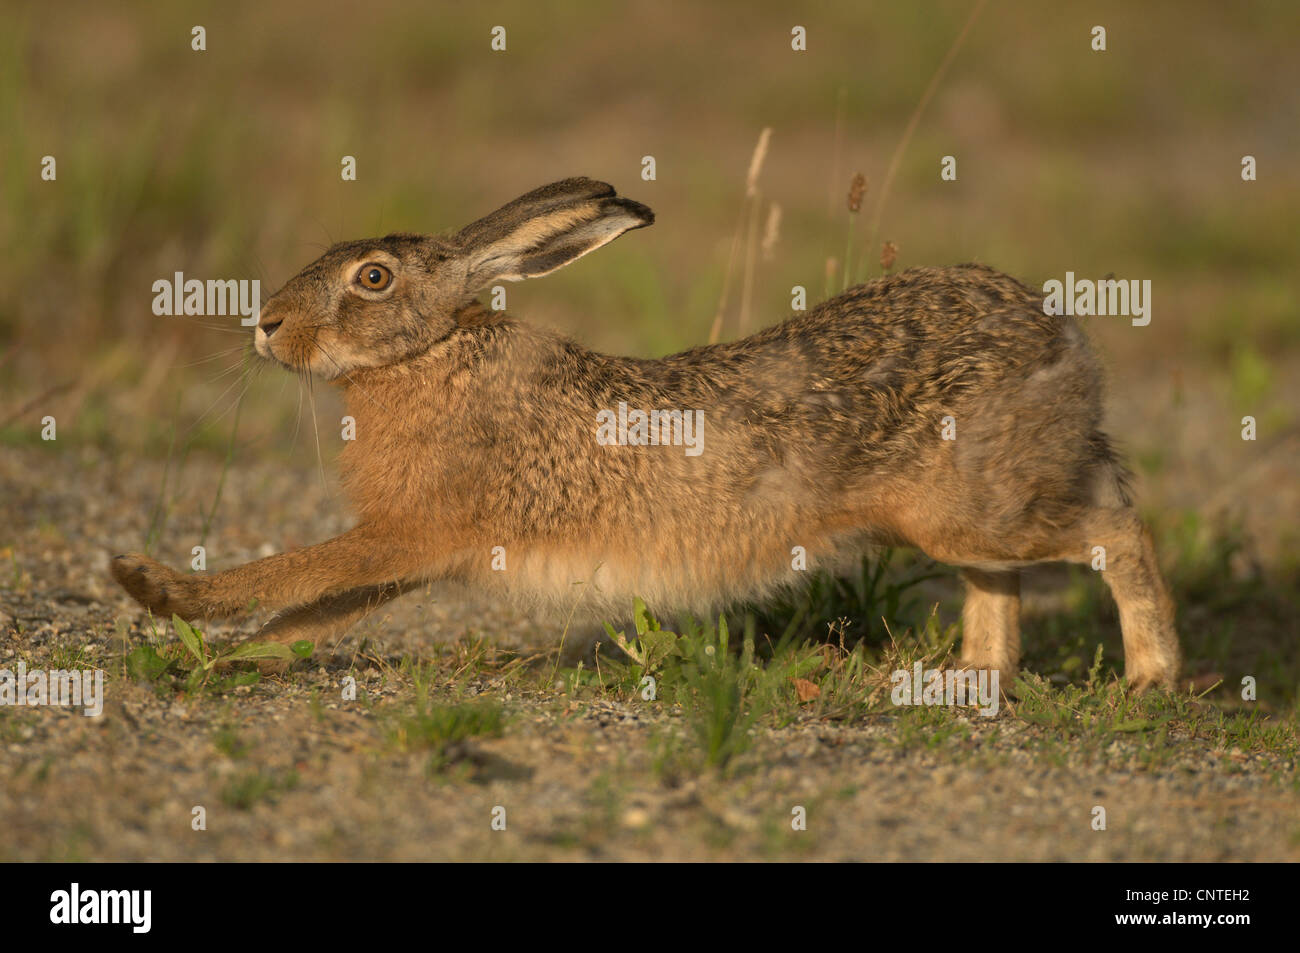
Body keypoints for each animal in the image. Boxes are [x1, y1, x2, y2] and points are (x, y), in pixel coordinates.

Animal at [111, 177, 1181, 690]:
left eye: (371, 278)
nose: (264, 325)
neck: (428, 358)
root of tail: (1058, 333)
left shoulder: (411, 531)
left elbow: (290, 575)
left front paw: (156, 590)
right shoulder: (415, 548)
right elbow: (311, 611)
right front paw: (216, 661)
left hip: (981, 504)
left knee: (1118, 530)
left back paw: (1149, 679)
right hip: (961, 515)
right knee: (1003, 576)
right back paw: (973, 675)